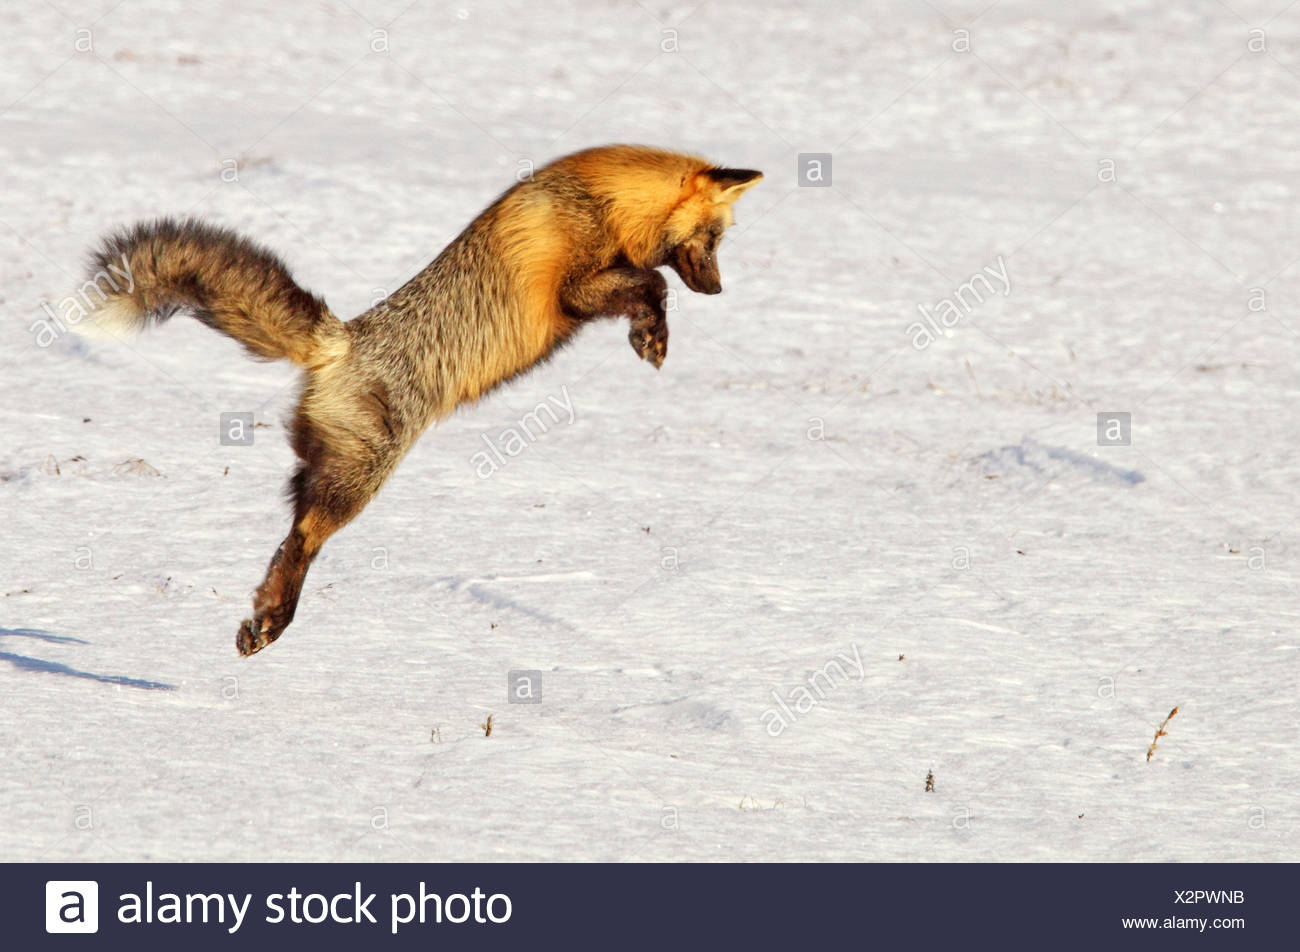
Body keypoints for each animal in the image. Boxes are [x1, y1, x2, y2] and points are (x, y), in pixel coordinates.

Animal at [79, 145, 762, 656]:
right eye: (714, 239)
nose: (719, 290)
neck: (602, 203)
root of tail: (341, 339)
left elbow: (649, 282)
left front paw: (651, 334)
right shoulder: (571, 291)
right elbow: (651, 283)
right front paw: (652, 335)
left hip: (325, 466)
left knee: (289, 529)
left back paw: (268, 617)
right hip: (360, 477)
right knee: (304, 537)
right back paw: (272, 620)